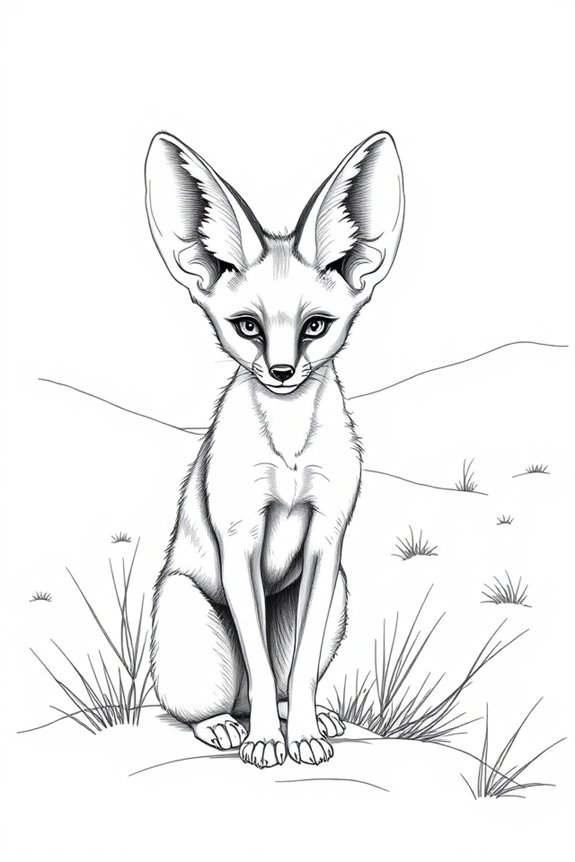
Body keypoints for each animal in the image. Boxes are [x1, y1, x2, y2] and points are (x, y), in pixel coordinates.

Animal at [145, 129, 405, 769]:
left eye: (315, 326)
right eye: (248, 326)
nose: (282, 373)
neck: (287, 453)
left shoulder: (326, 540)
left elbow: (301, 667)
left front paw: (303, 735)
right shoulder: (240, 540)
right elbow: (260, 666)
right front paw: (266, 741)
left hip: (338, 593)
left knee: (286, 678)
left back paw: (305, 719)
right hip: (188, 614)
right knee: (217, 700)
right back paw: (228, 726)